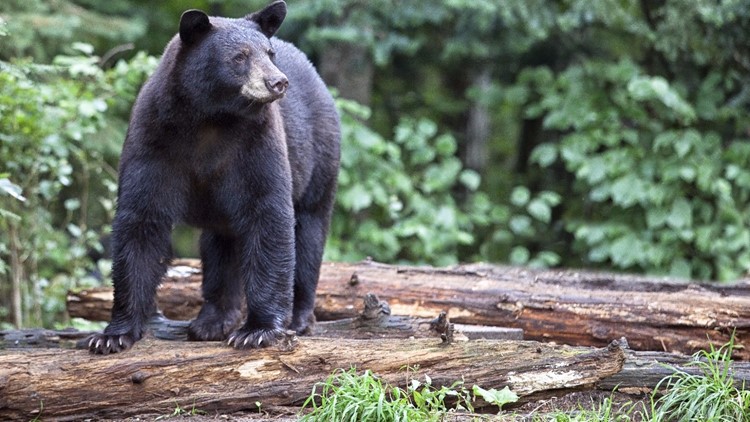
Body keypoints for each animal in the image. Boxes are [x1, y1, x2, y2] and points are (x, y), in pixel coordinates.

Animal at [87, 0, 340, 354]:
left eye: (269, 53)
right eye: (240, 57)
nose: (278, 82)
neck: (211, 118)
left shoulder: (256, 144)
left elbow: (268, 214)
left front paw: (258, 330)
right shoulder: (153, 140)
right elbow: (141, 220)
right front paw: (112, 334)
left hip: (319, 158)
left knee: (309, 232)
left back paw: (299, 318)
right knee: (221, 247)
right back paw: (212, 321)